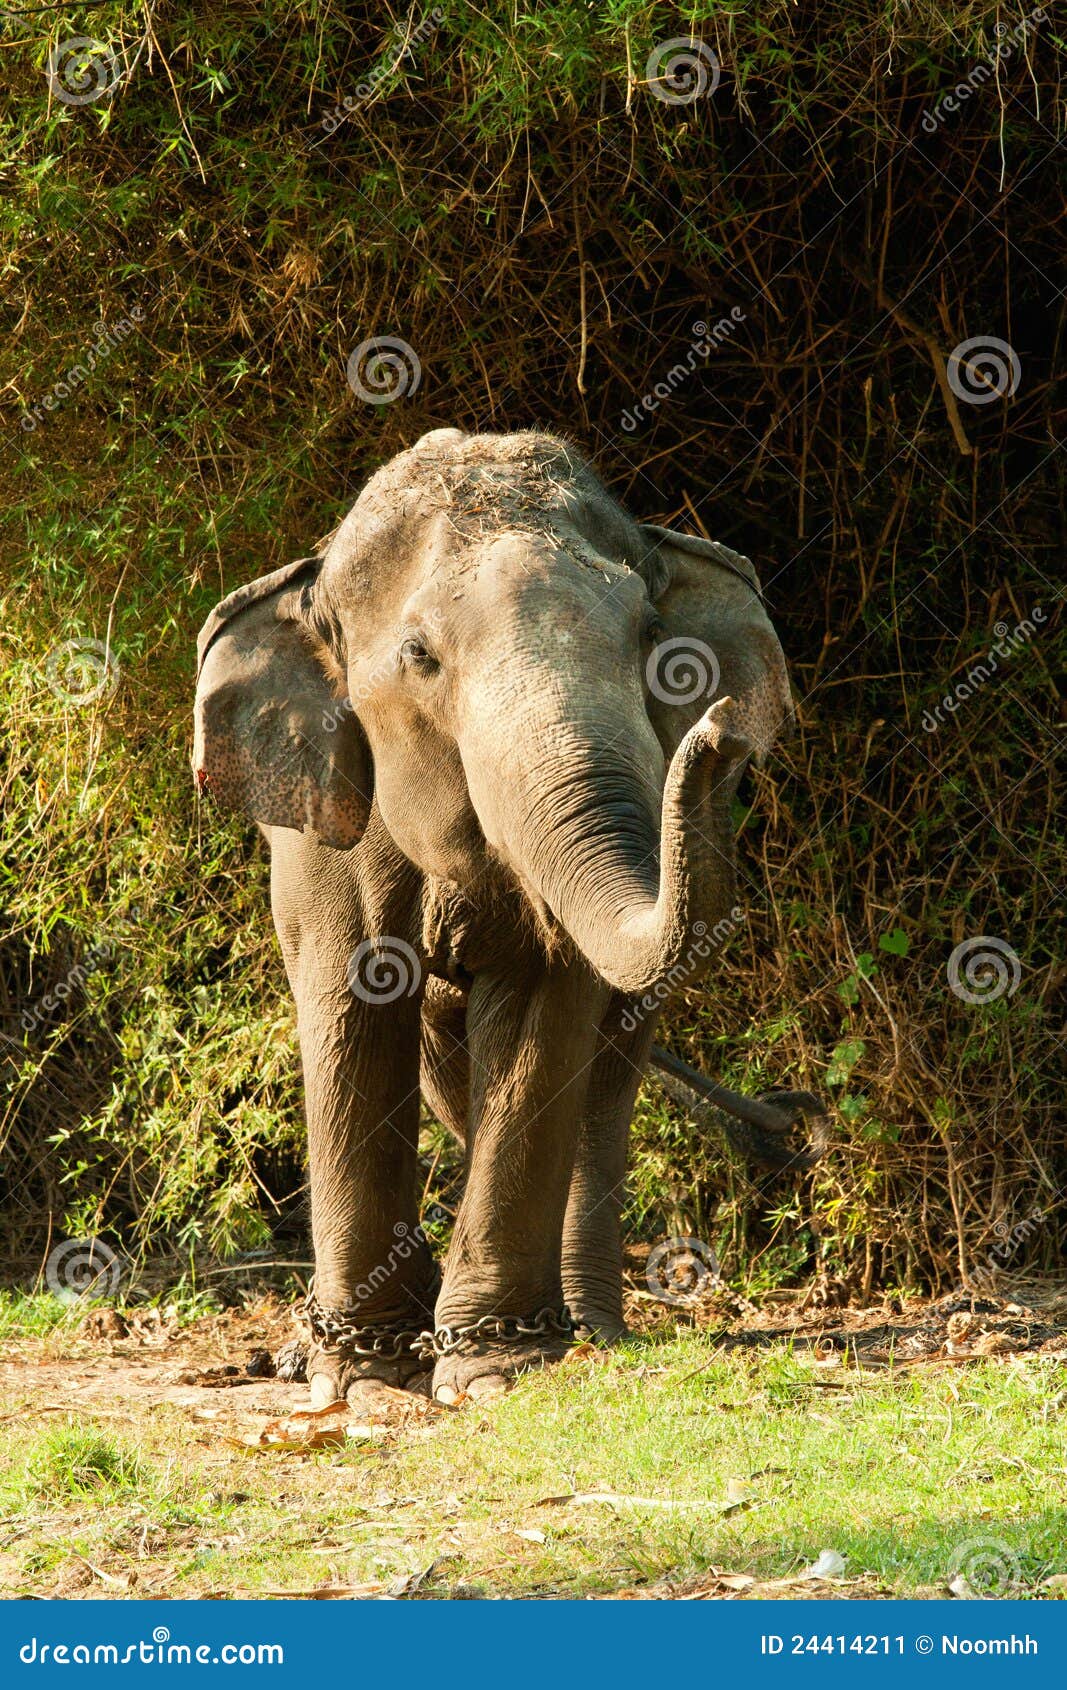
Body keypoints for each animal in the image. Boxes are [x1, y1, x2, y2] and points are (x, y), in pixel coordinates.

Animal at [193, 428, 792, 1407]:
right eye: (420, 656)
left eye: (650, 637)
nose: (720, 733)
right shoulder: (328, 841)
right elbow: (355, 1014)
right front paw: (361, 1375)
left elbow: (545, 1008)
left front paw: (492, 1370)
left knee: (607, 1075)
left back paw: (587, 1328)